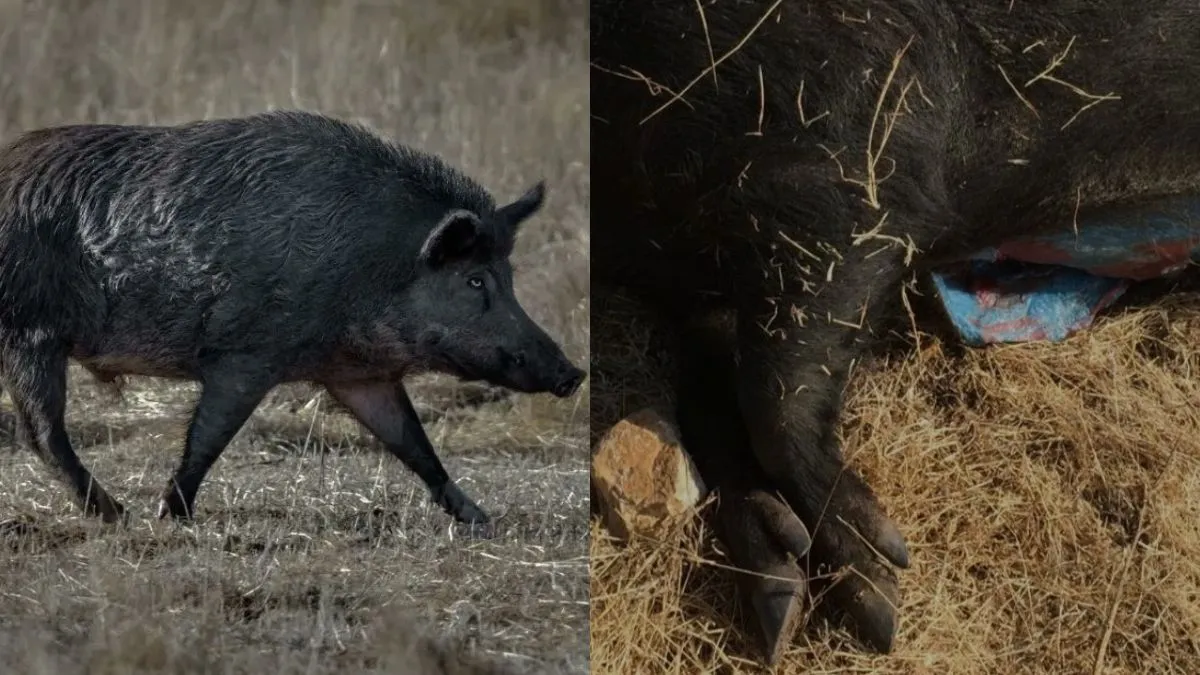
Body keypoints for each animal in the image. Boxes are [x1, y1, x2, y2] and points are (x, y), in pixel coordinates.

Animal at [0, 110, 586, 529]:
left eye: (508, 276)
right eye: (475, 281)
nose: (573, 373)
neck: (368, 269)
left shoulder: (361, 376)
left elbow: (415, 444)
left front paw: (479, 519)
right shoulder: (245, 355)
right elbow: (209, 437)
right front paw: (173, 515)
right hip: (30, 334)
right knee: (42, 431)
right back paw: (114, 515)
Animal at [592, 0, 1200, 661]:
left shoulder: (853, 138)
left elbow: (773, 396)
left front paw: (885, 585)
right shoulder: (692, 285)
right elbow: (707, 400)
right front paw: (784, 612)